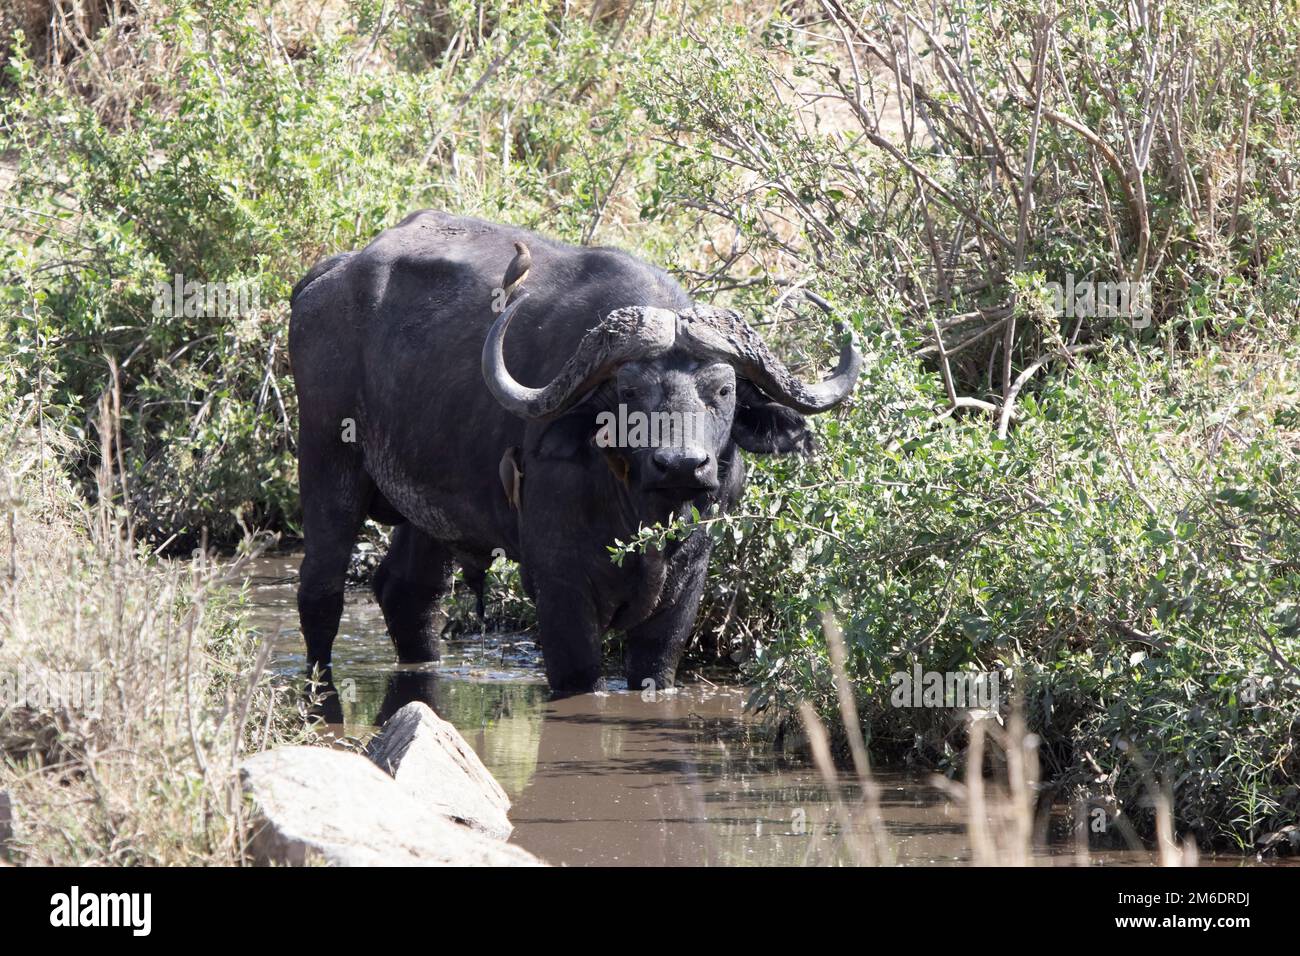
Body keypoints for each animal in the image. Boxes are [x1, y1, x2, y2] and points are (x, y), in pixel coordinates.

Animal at [288, 211, 860, 694]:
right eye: (630, 390)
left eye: (723, 390)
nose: (681, 463)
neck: (642, 514)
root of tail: (326, 277)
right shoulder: (560, 590)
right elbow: (579, 674)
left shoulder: (684, 595)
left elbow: (657, 666)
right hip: (325, 459)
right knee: (321, 589)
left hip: (430, 510)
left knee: (409, 593)